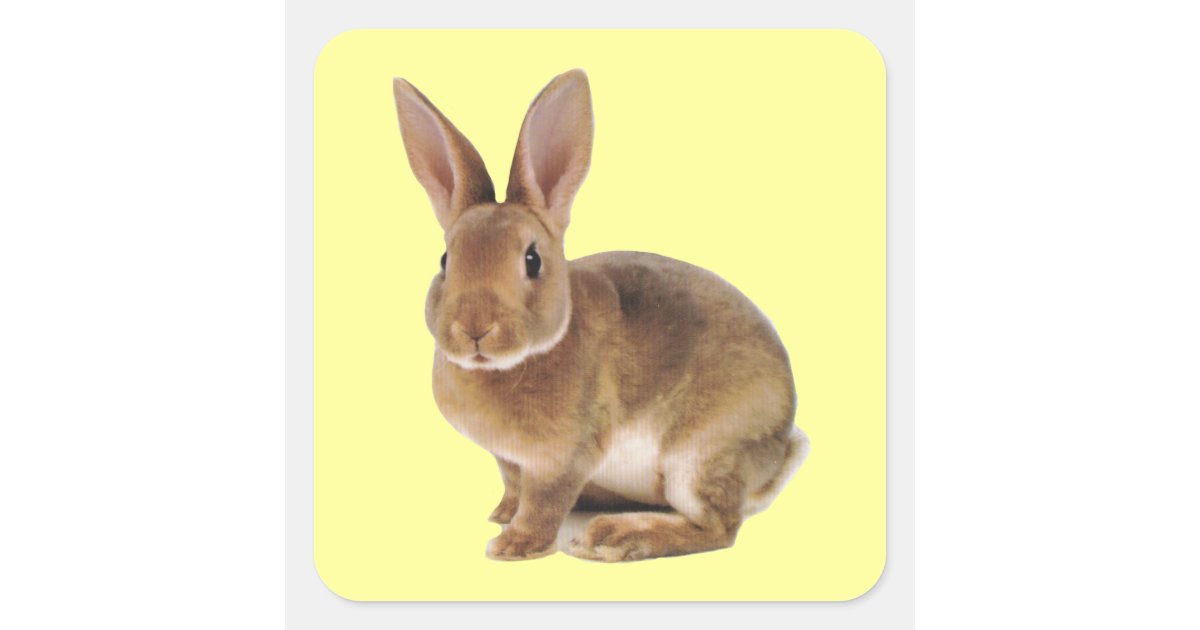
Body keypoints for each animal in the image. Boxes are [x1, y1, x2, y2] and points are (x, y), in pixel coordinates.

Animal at [391, 69, 809, 562]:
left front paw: (514, 545)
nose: (474, 329)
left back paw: (614, 537)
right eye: (445, 260)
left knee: (717, 527)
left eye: (532, 260)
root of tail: (776, 453)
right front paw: (502, 515)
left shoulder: (564, 457)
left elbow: (544, 503)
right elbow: (515, 489)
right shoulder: (510, 462)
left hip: (700, 457)